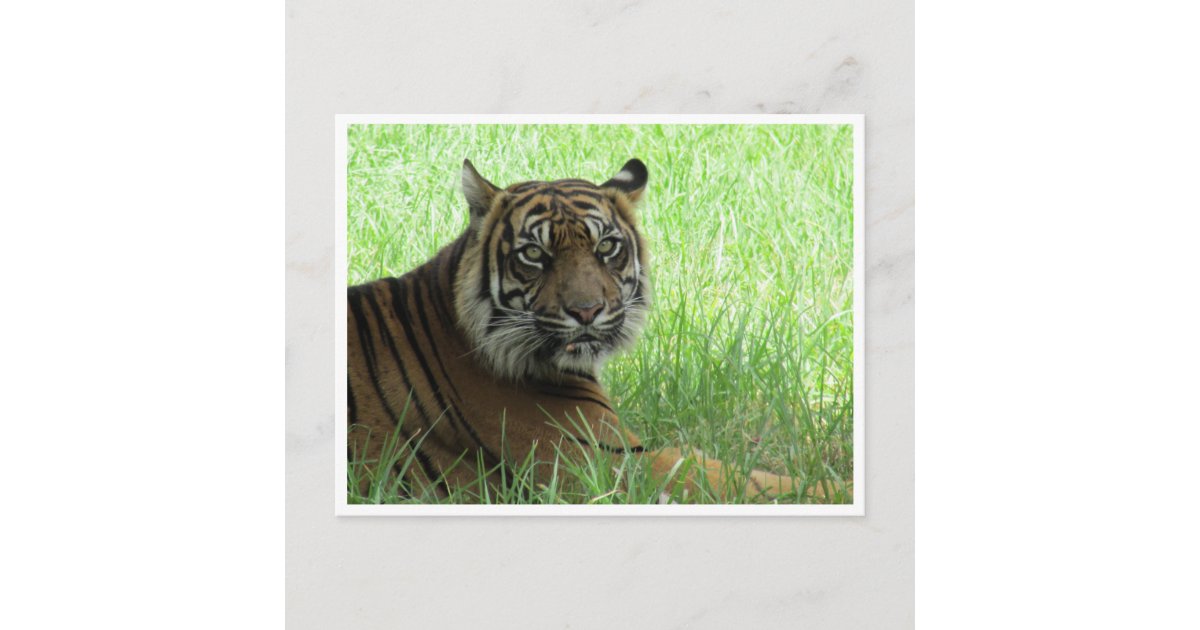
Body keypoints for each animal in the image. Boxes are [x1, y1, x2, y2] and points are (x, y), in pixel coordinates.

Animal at [347, 158, 837, 503]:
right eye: (534, 254)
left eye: (606, 247)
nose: (587, 311)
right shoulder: (609, 466)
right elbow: (743, 481)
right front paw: (836, 489)